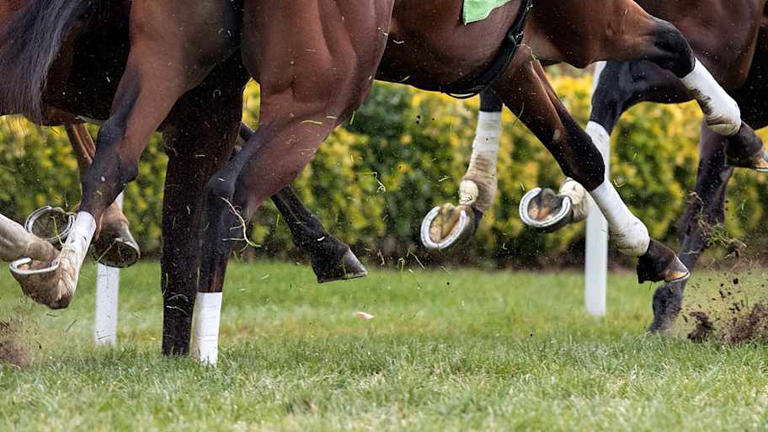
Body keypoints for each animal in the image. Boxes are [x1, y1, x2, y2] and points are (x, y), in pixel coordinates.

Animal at [428, 0, 768, 332]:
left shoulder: (723, 55)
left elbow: (614, 84)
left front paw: (572, 196)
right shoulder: (551, 28)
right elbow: (500, 73)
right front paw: (477, 194)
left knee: (704, 210)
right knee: (708, 211)